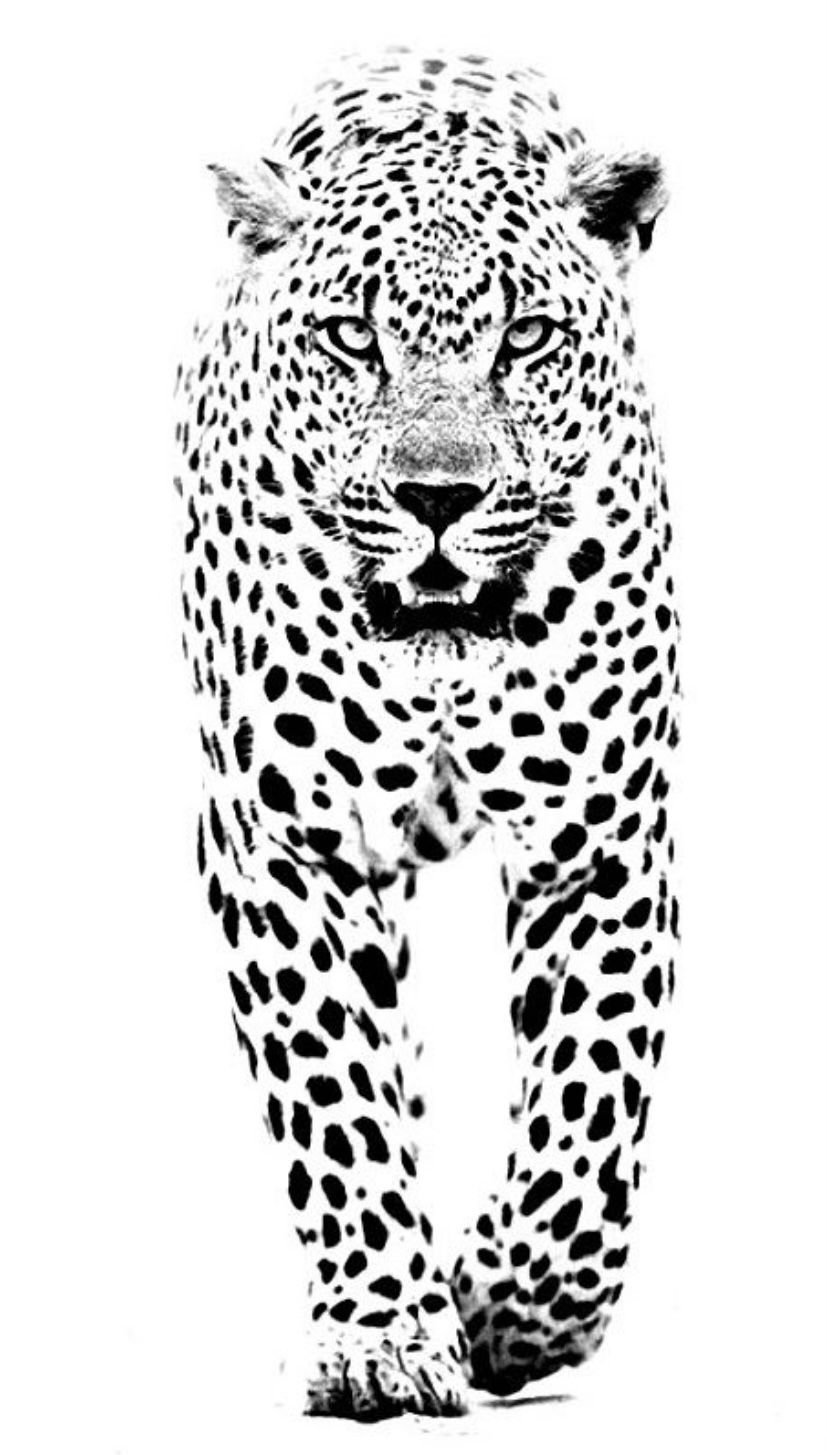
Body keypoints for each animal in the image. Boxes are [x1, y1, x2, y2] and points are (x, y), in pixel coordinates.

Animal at [174, 46, 679, 1422]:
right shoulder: (285, 844)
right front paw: (385, 1337)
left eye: (525, 339)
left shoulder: (598, 842)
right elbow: (334, 1093)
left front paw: (507, 1309)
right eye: (355, 340)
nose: (437, 499)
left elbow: (587, 1119)